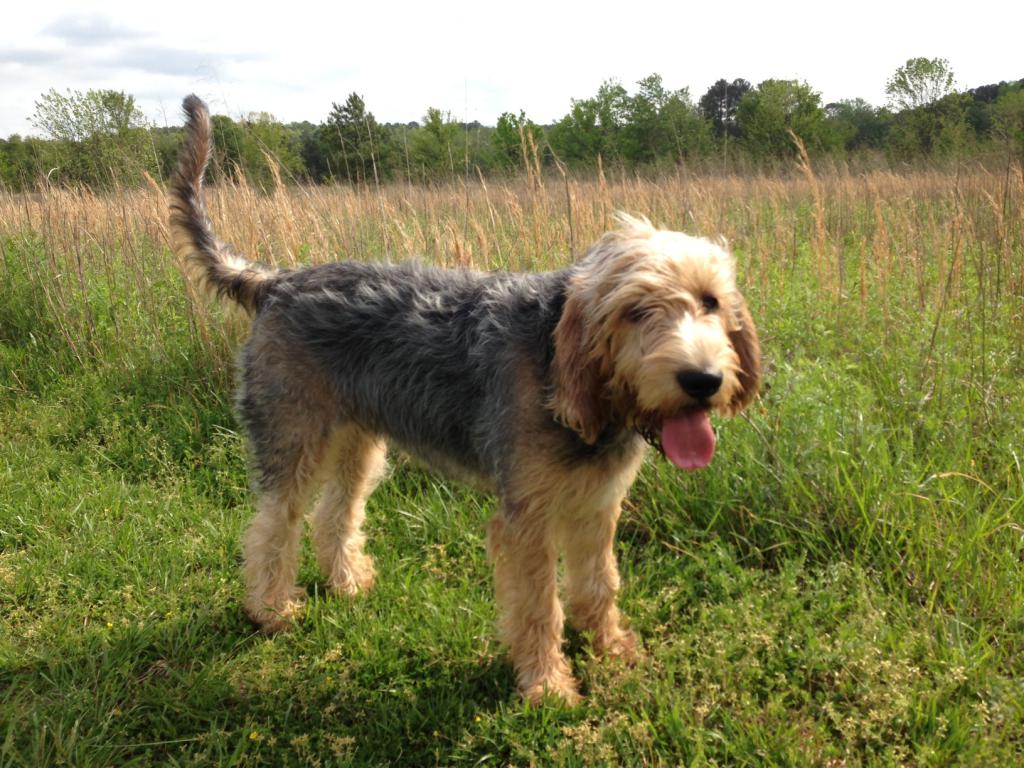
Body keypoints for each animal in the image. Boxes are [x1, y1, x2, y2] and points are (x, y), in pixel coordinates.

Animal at [167, 94, 761, 704]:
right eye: (636, 310)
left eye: (711, 301)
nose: (703, 380)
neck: (563, 370)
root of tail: (275, 282)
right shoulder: (527, 518)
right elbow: (539, 607)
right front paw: (548, 688)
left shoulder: (597, 506)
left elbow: (600, 584)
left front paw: (612, 650)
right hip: (293, 439)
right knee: (272, 527)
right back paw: (271, 611)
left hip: (358, 445)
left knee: (334, 514)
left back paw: (349, 583)